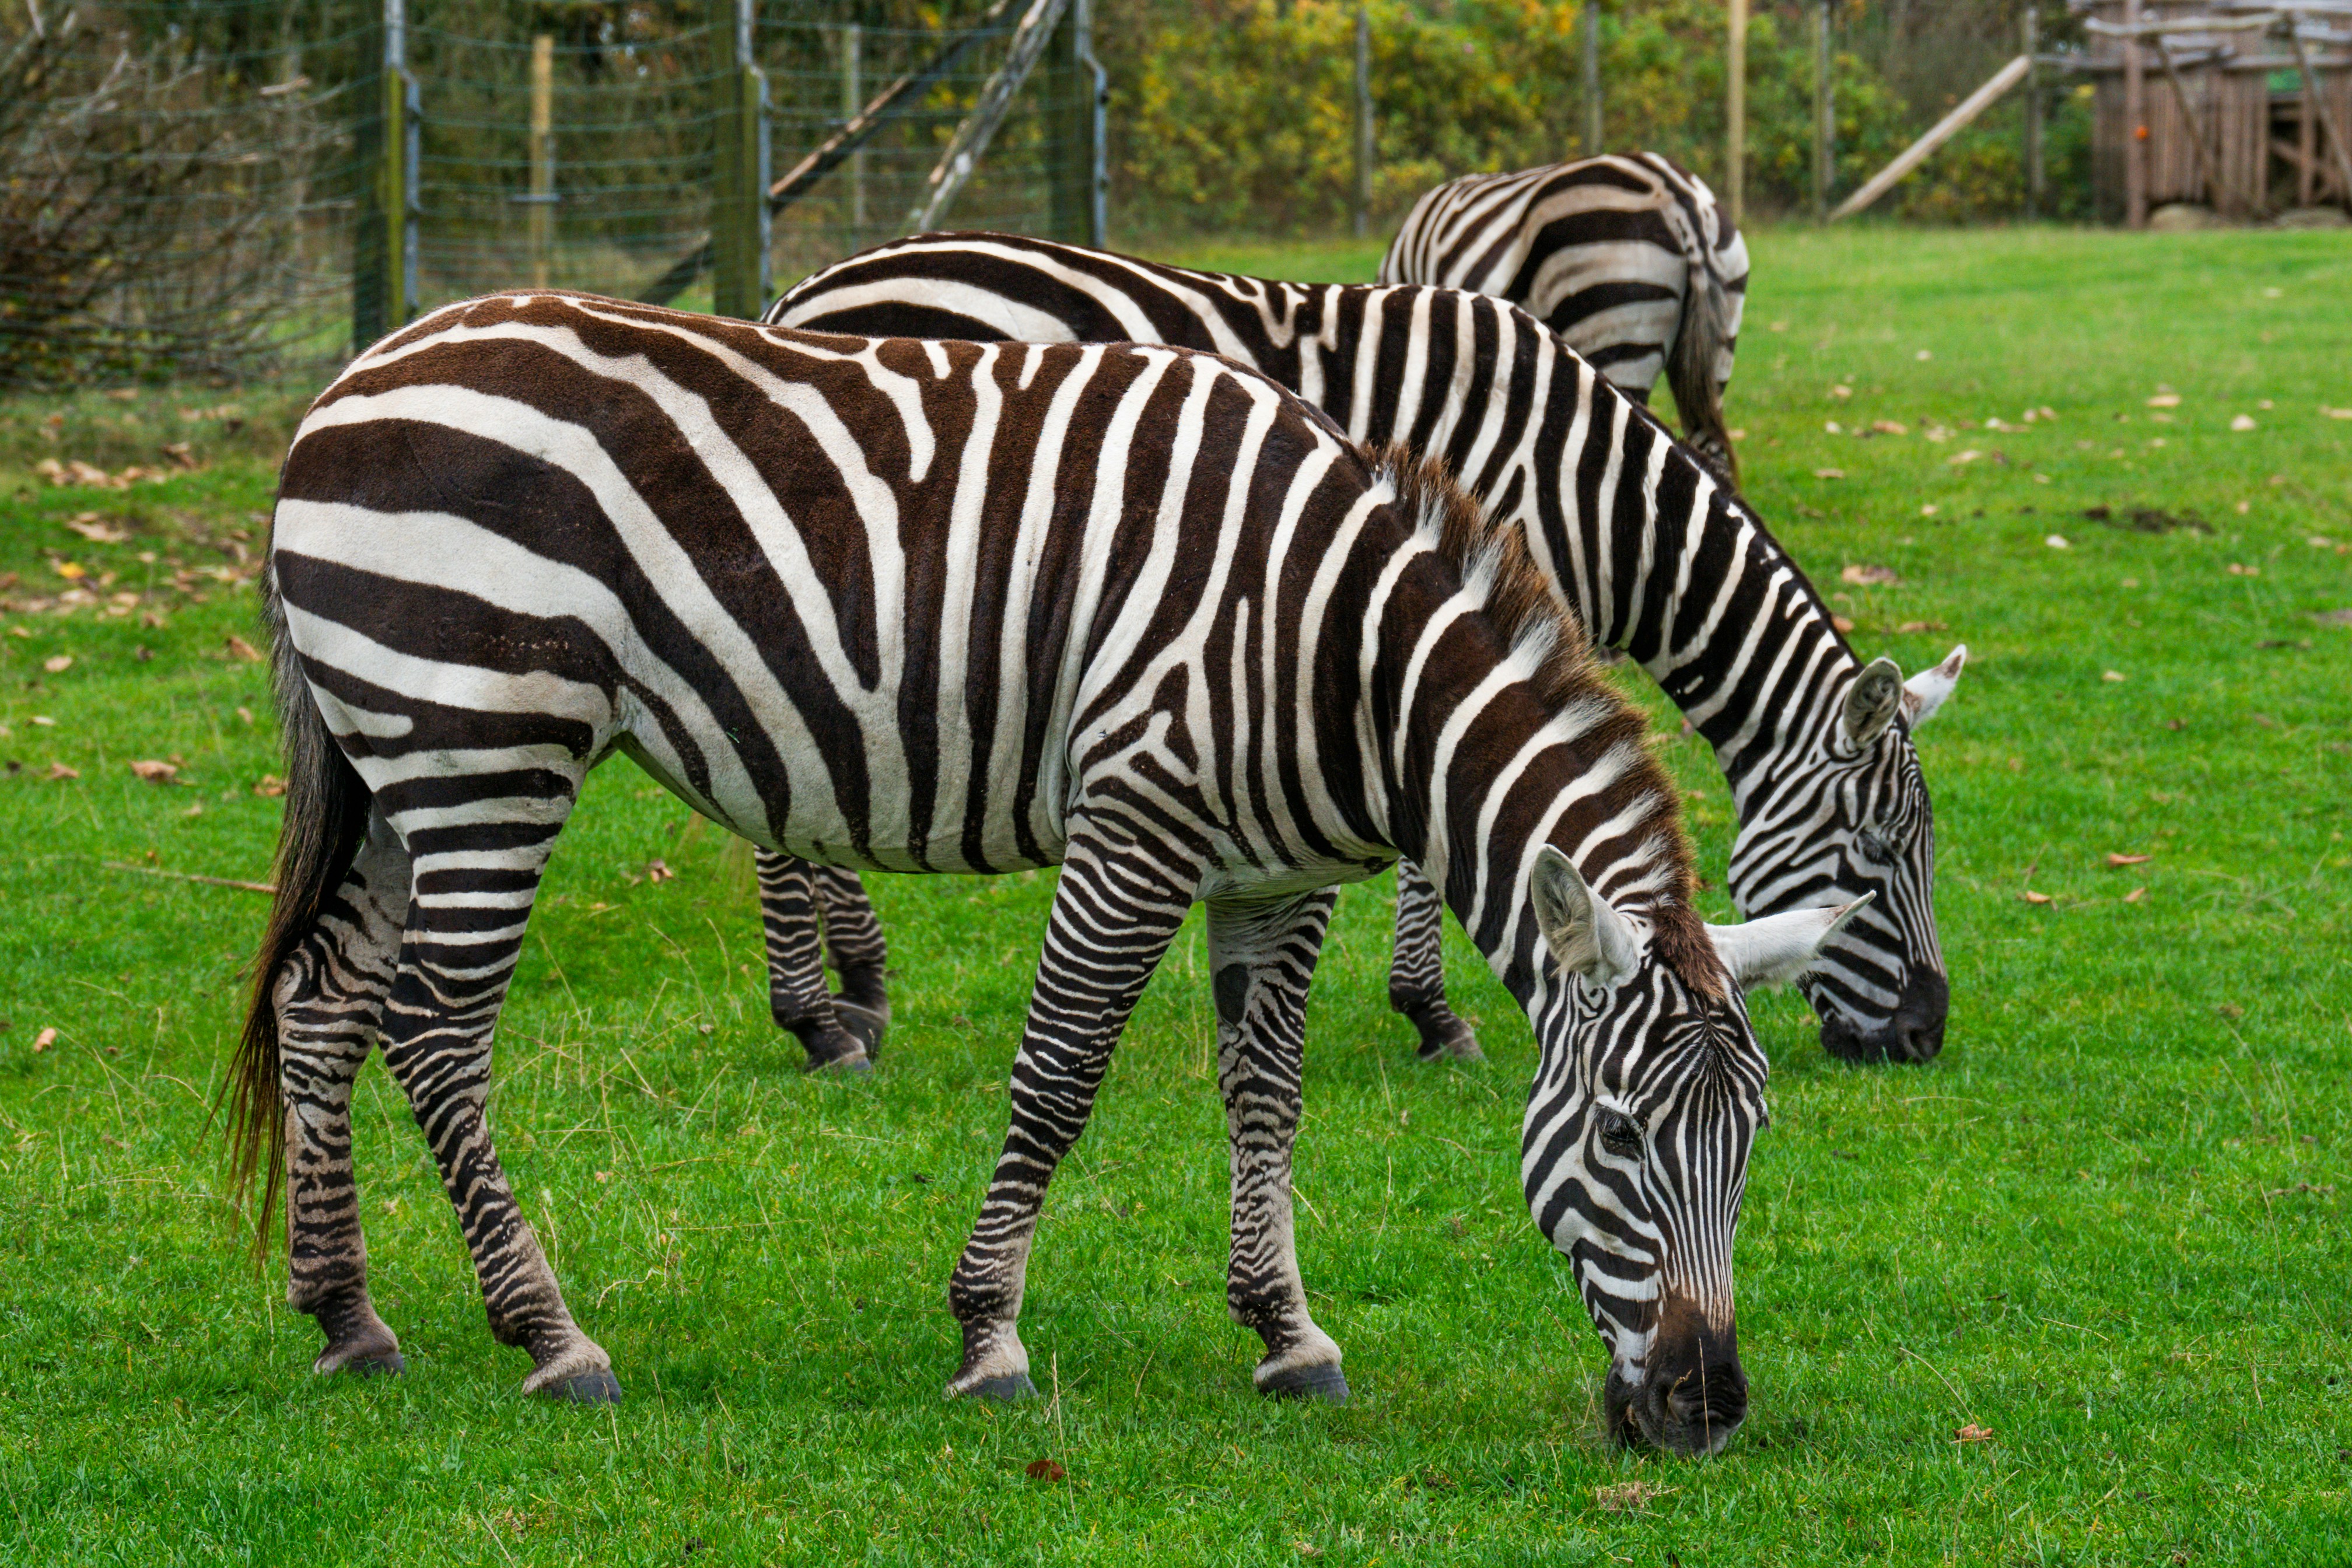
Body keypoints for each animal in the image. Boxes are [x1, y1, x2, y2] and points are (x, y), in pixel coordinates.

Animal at [229, 289, 1861, 1453]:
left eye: (1756, 1143)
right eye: (1628, 1139)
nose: (1709, 1416)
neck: (1348, 656)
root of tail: (348, 383)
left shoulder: (1271, 874)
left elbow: (1265, 1092)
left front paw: (1287, 1332)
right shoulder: (1134, 826)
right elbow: (1062, 1076)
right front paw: (989, 1336)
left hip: (398, 760)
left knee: (321, 1005)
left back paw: (345, 1316)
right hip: (482, 744)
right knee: (437, 1030)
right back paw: (552, 1337)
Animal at [762, 232, 1964, 1068]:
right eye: (1876, 852)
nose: (1923, 1038)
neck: (1589, 495)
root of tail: (807, 291)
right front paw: (1433, 1013)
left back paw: (858, 987)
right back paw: (821, 1018)